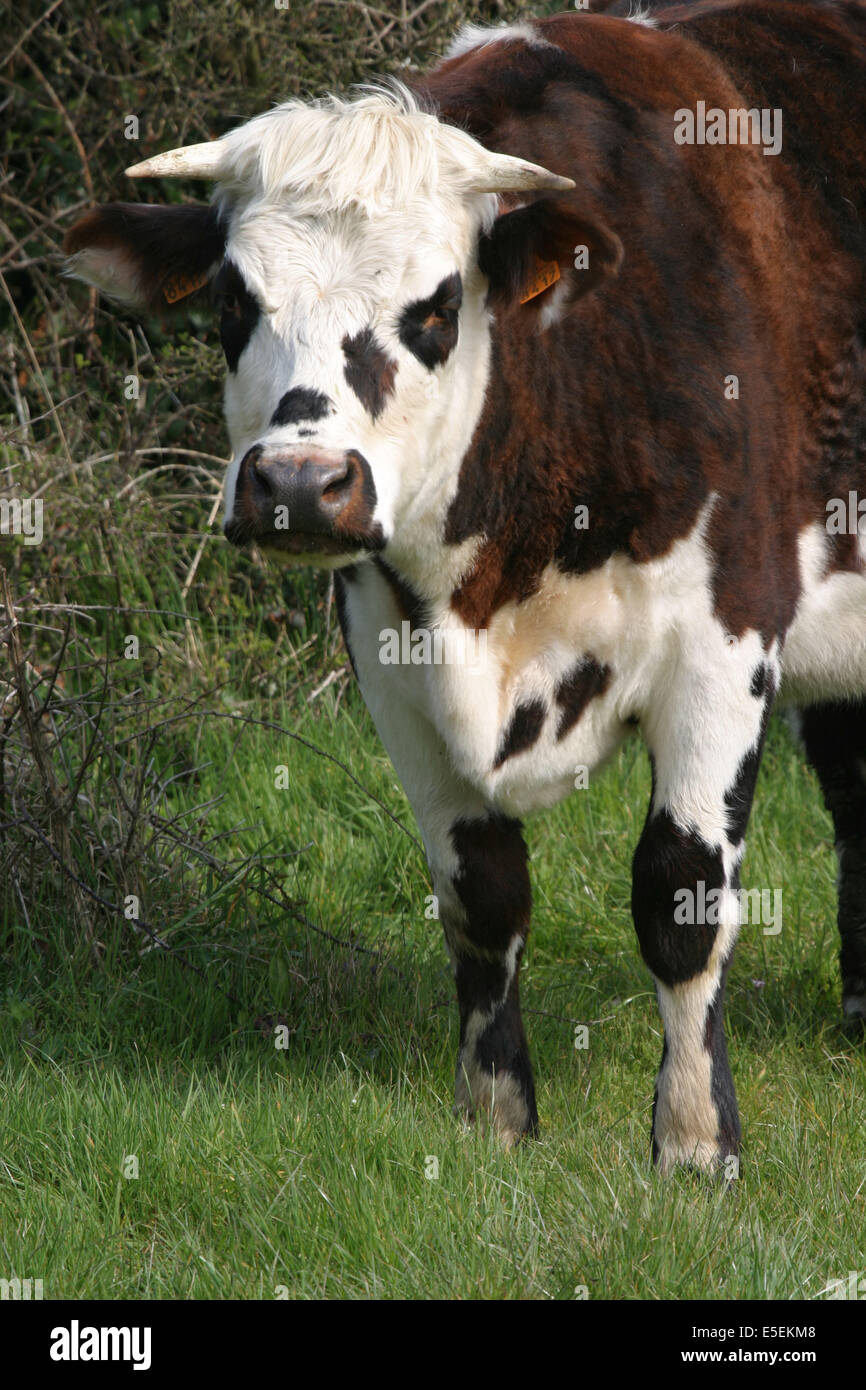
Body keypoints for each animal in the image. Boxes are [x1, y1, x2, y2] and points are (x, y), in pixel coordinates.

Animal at [64, 0, 866, 1173]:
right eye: (231, 300)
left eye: (438, 305)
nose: (299, 484)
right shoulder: (392, 663)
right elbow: (481, 900)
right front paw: (495, 1124)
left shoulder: (724, 640)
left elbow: (679, 896)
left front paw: (692, 1143)